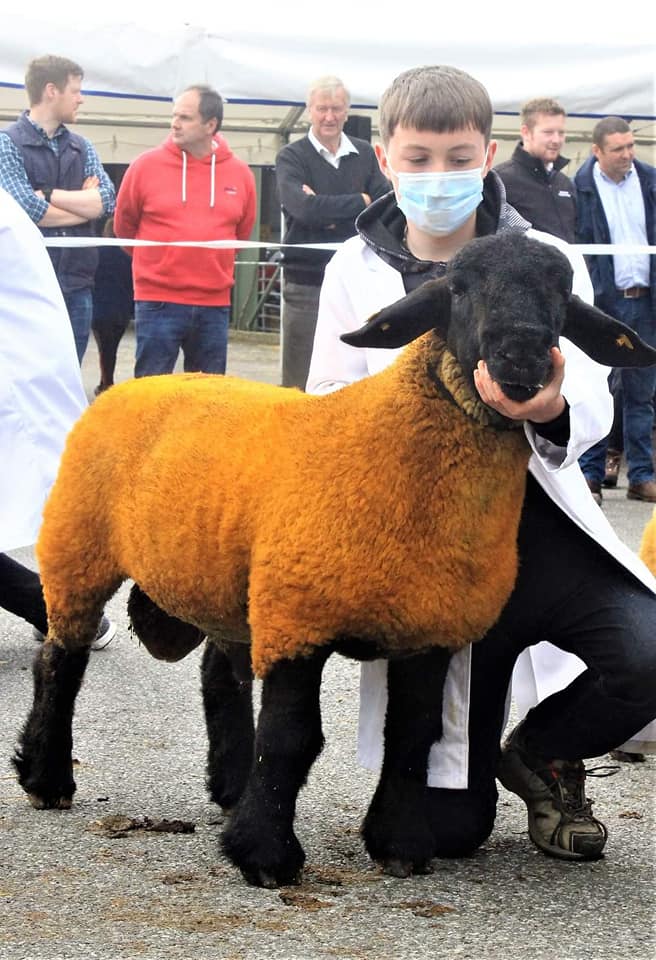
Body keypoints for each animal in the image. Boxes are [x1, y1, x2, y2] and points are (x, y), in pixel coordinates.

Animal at [13, 232, 656, 889]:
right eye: (457, 288)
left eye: (562, 293)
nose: (521, 356)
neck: (393, 447)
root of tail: (133, 384)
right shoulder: (298, 619)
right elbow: (293, 738)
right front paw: (265, 855)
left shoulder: (429, 630)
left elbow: (412, 737)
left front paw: (399, 843)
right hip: (79, 549)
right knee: (60, 662)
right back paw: (47, 777)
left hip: (227, 583)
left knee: (219, 674)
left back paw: (231, 785)